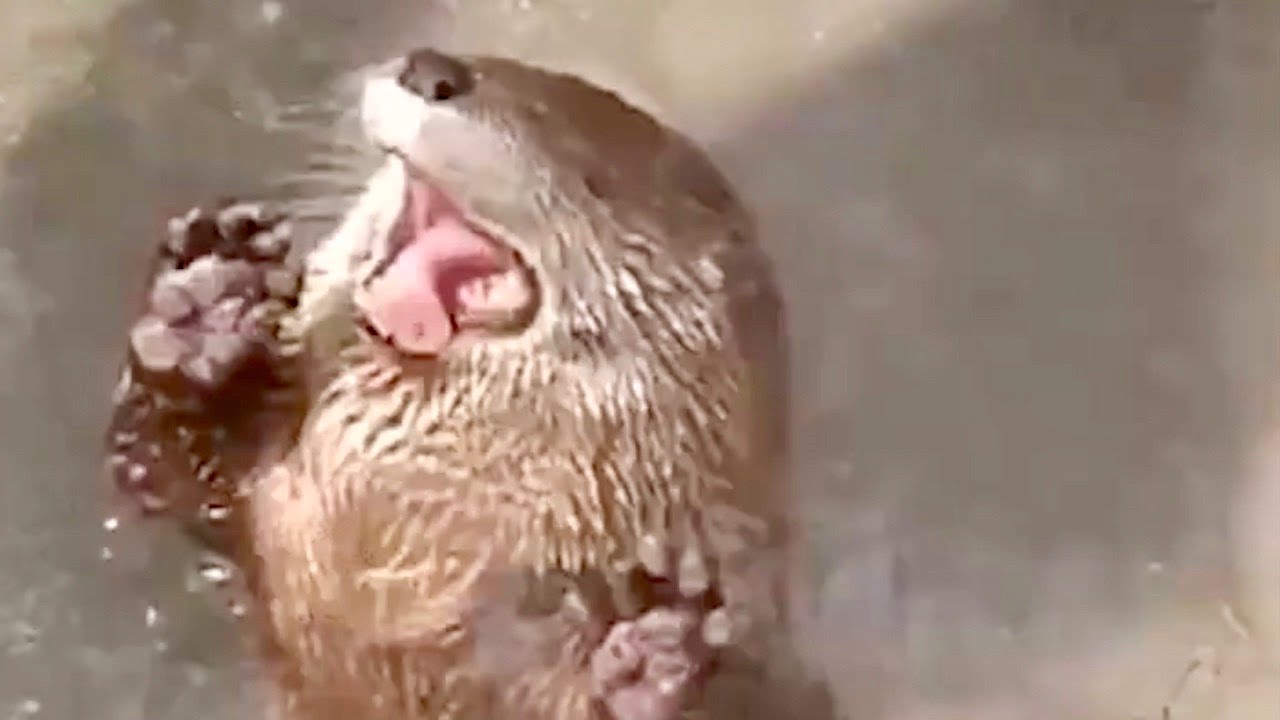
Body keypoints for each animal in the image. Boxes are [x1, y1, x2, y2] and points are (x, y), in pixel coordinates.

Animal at [105, 48, 801, 720]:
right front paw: (205, 304)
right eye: (498, 65)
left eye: (589, 181)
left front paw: (660, 649)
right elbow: (168, 477)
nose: (433, 70)